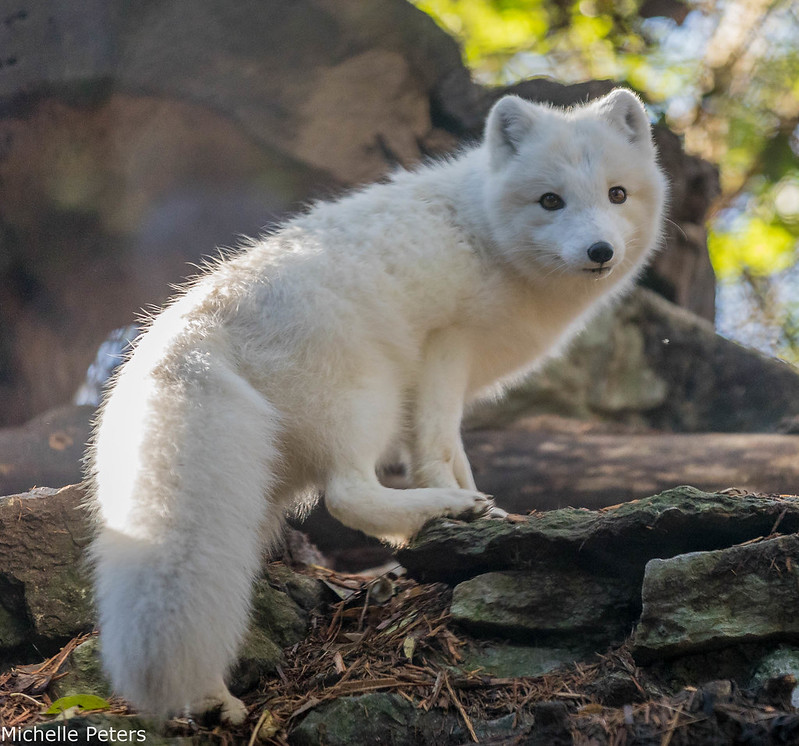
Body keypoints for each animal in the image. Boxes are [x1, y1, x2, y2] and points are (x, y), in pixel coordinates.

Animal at [87, 88, 667, 722]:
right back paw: (442, 511)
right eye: (550, 201)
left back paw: (213, 700)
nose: (600, 250)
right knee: (346, 495)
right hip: (367, 398)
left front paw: (491, 510)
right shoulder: (446, 346)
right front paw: (474, 509)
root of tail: (191, 330)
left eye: (617, 194)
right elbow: (438, 450)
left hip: (257, 491)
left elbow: (455, 453)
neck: (483, 233)